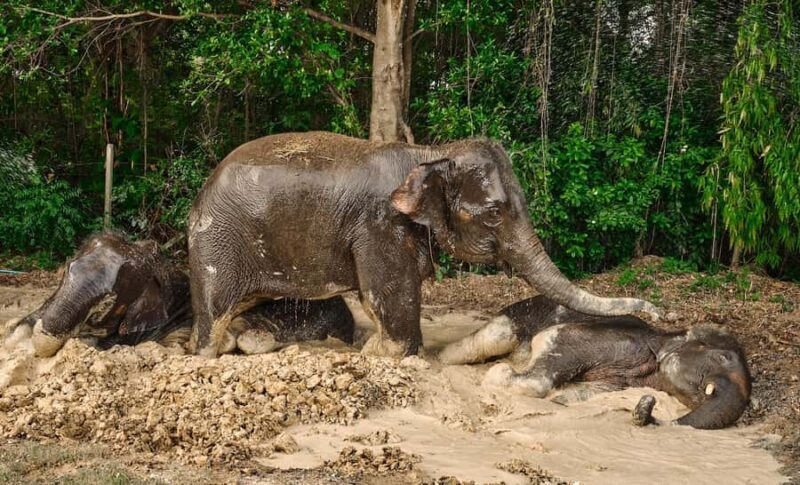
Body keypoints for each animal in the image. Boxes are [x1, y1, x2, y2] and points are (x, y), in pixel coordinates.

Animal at [187, 131, 660, 358]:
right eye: (494, 213)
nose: (656, 312)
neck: (429, 152)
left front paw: (370, 349)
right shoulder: (379, 223)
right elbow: (389, 293)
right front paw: (382, 352)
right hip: (217, 243)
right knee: (213, 314)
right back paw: (211, 347)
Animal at [438, 296, 751, 430]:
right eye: (723, 357)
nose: (647, 403)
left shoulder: (618, 382)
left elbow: (580, 394)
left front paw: (561, 400)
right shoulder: (597, 339)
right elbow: (547, 347)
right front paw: (498, 373)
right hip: (516, 315)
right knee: (488, 339)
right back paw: (441, 360)